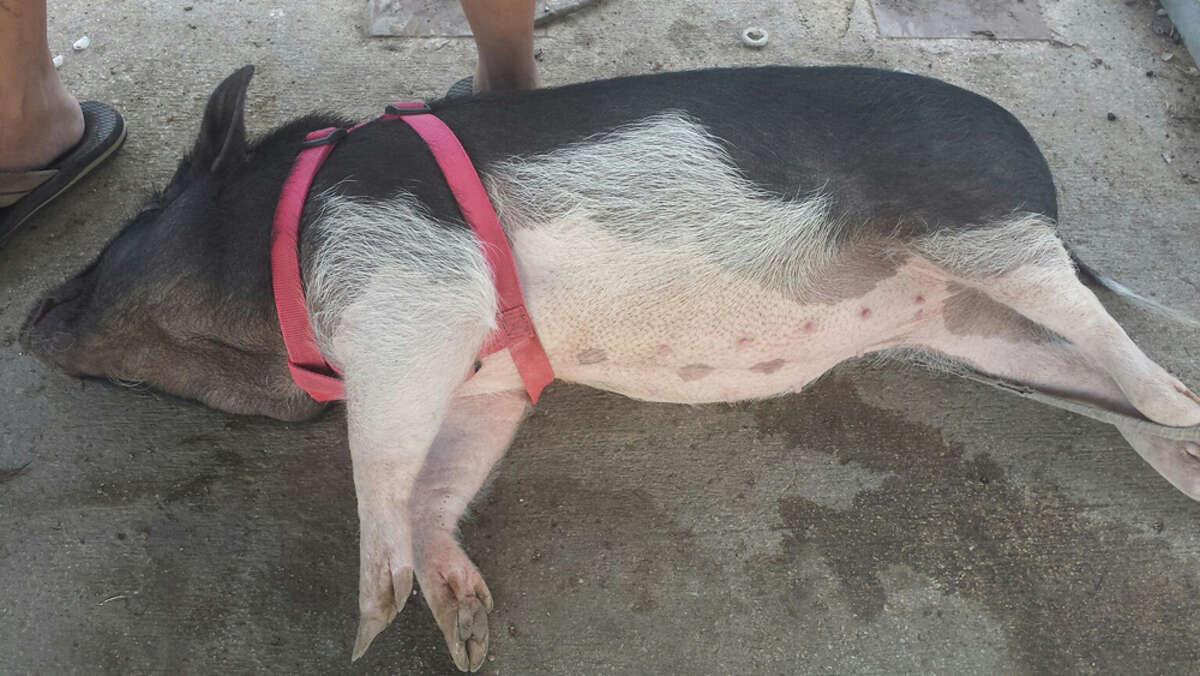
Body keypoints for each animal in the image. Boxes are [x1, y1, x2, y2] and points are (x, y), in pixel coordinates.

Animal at [20, 65, 1200, 671]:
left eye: (131, 223)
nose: (28, 312)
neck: (280, 248)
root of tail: (1038, 173)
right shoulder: (487, 382)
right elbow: (438, 482)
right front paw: (468, 632)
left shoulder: (409, 300)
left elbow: (377, 461)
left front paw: (359, 631)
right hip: (964, 323)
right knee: (1101, 389)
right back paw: (1181, 458)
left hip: (985, 230)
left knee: (1130, 358)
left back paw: (1181, 424)